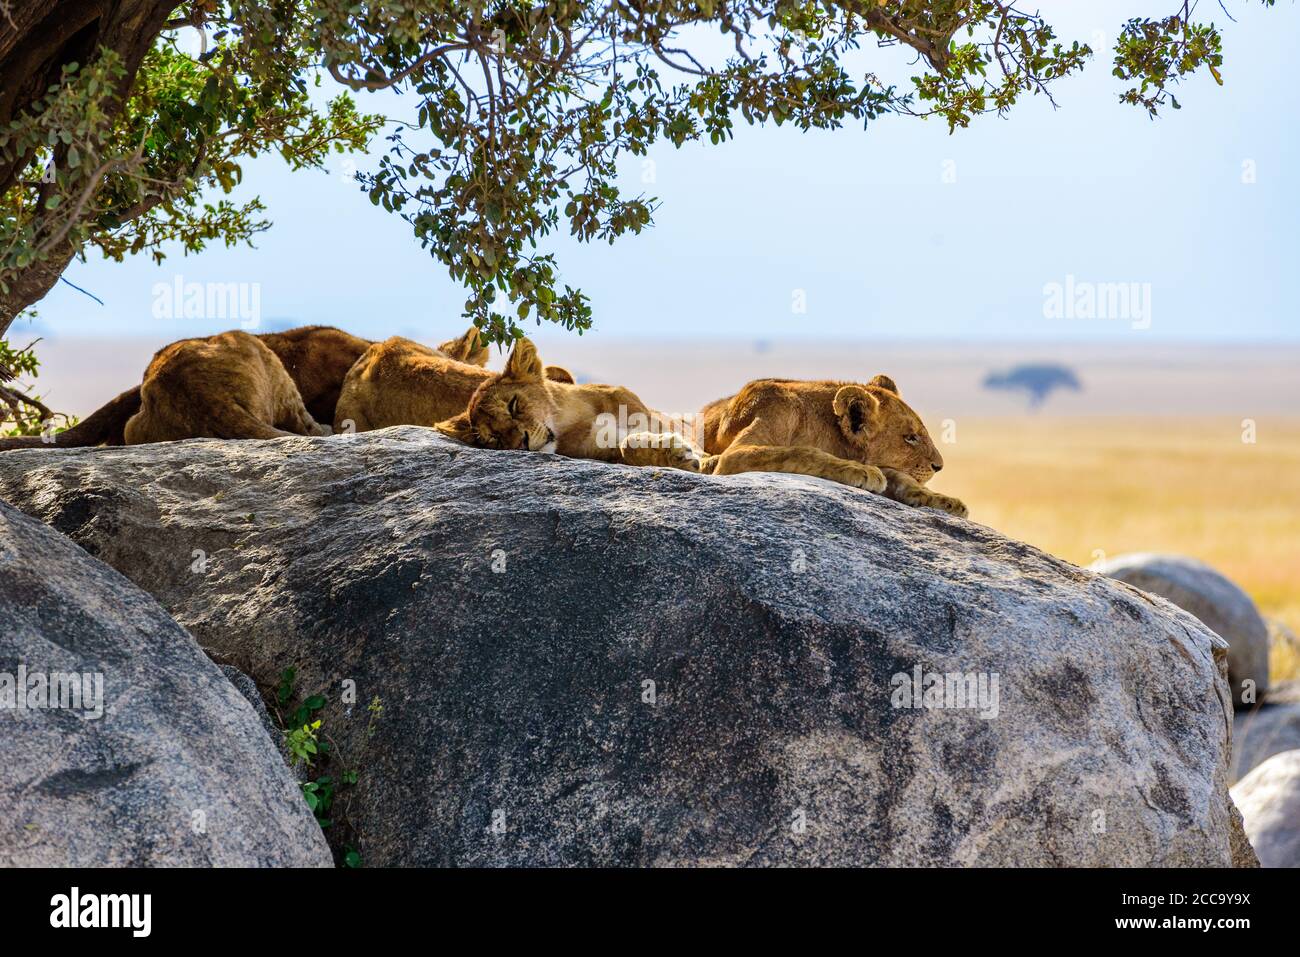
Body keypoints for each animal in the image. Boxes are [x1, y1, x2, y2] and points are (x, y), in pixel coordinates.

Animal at [433, 338, 701, 470]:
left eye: (513, 405)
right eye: (493, 439)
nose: (522, 444)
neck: (571, 420)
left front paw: (677, 454)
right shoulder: (597, 449)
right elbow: (626, 446)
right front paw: (676, 455)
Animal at [699, 376, 968, 516]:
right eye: (910, 437)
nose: (939, 466)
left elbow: (901, 478)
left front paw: (945, 501)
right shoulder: (737, 455)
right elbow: (804, 452)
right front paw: (861, 471)